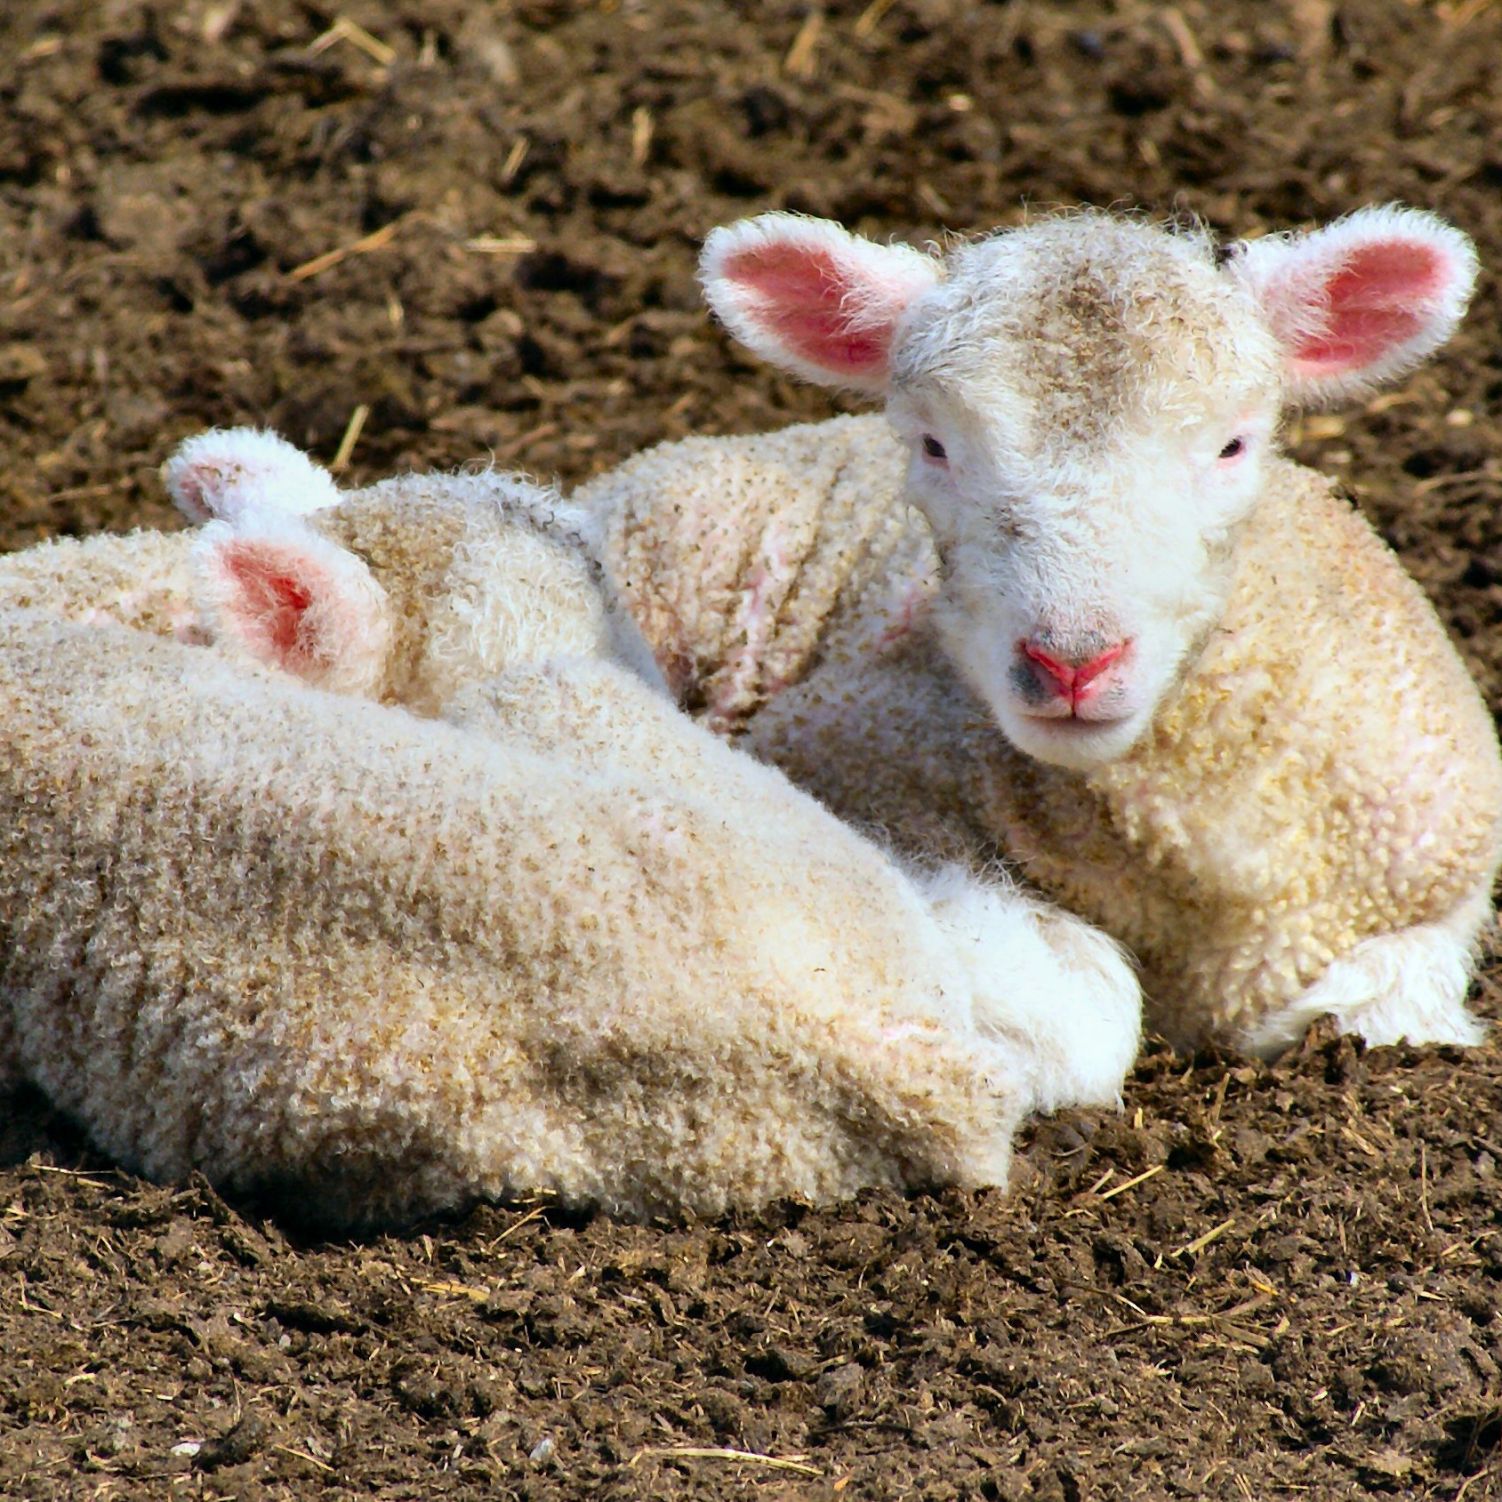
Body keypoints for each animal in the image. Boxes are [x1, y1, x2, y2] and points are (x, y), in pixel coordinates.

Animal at [577, 204, 1502, 1059]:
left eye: (1233, 446)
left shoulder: (1448, 857)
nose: (1072, 664)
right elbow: (1089, 1007)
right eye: (934, 446)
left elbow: (1379, 1004)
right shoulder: (837, 747)